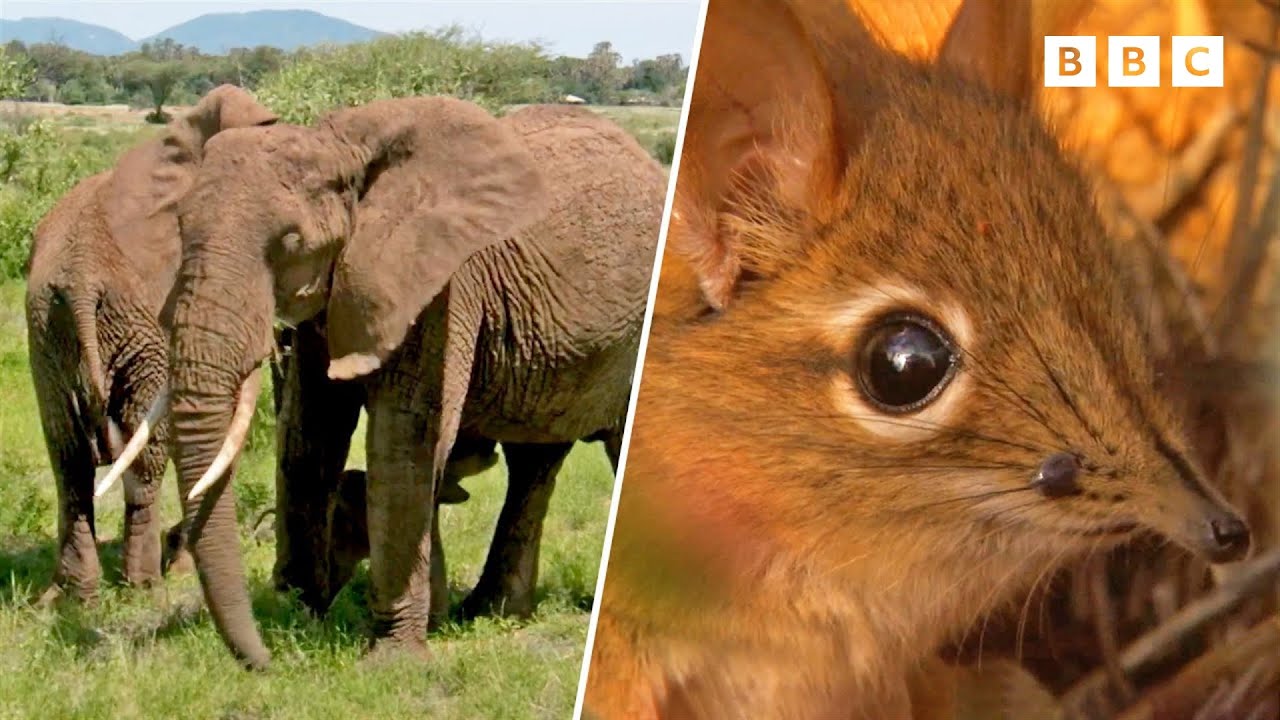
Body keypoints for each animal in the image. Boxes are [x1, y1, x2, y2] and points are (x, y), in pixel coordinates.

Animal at [24, 85, 278, 601]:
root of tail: (80, 282)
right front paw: (180, 563)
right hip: (137, 333)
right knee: (142, 458)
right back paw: (145, 585)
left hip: (46, 334)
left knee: (68, 457)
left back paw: (72, 596)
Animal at [119, 97, 664, 669]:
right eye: (180, 232)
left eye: (290, 243)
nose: (266, 662)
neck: (340, 151)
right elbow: (308, 435)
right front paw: (297, 612)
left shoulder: (440, 287)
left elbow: (404, 440)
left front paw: (392, 659)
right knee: (534, 460)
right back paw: (493, 612)